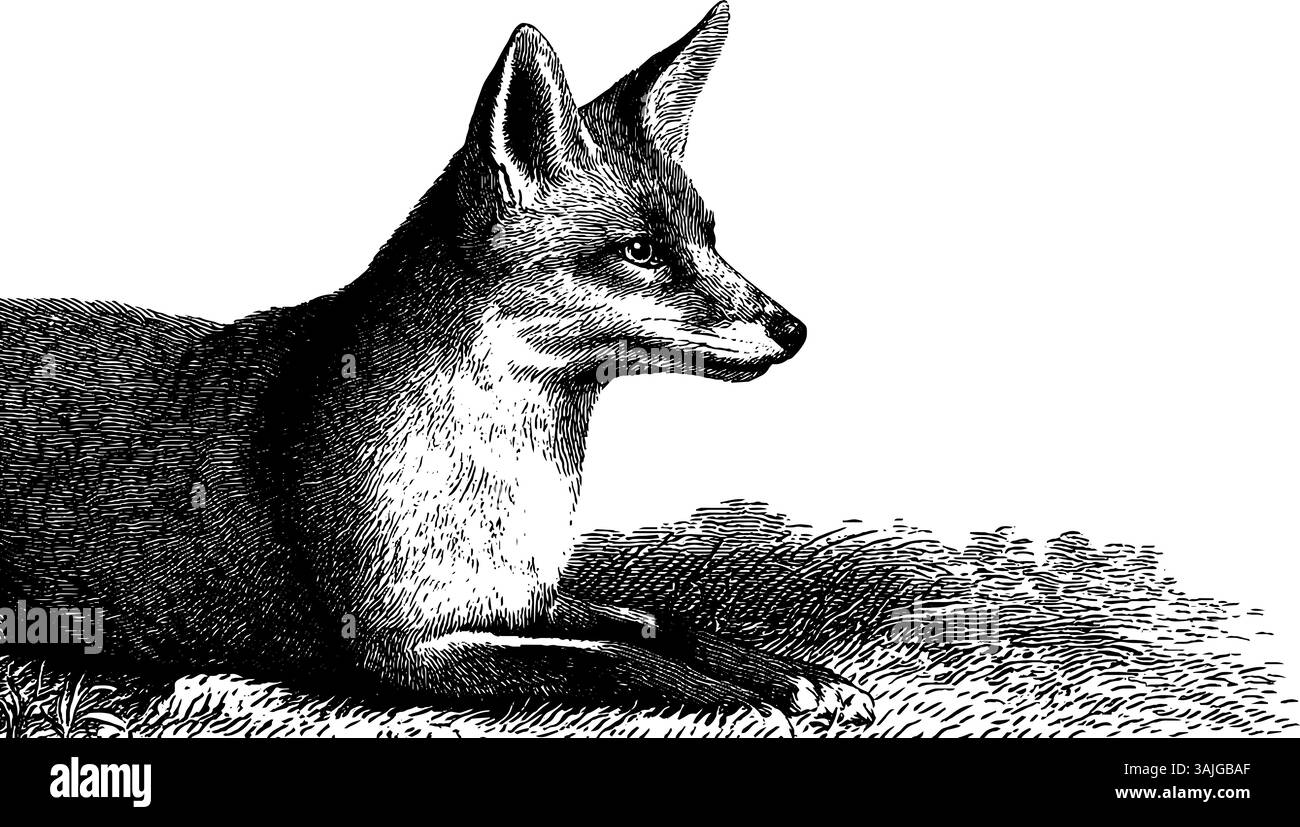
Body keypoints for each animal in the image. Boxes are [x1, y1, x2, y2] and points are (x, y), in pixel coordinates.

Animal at [0, 3, 870, 720]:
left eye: (710, 237)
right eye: (643, 251)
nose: (795, 329)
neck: (501, 475)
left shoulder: (519, 596)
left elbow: (661, 621)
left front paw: (794, 674)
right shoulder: (399, 646)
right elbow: (608, 657)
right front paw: (743, 698)